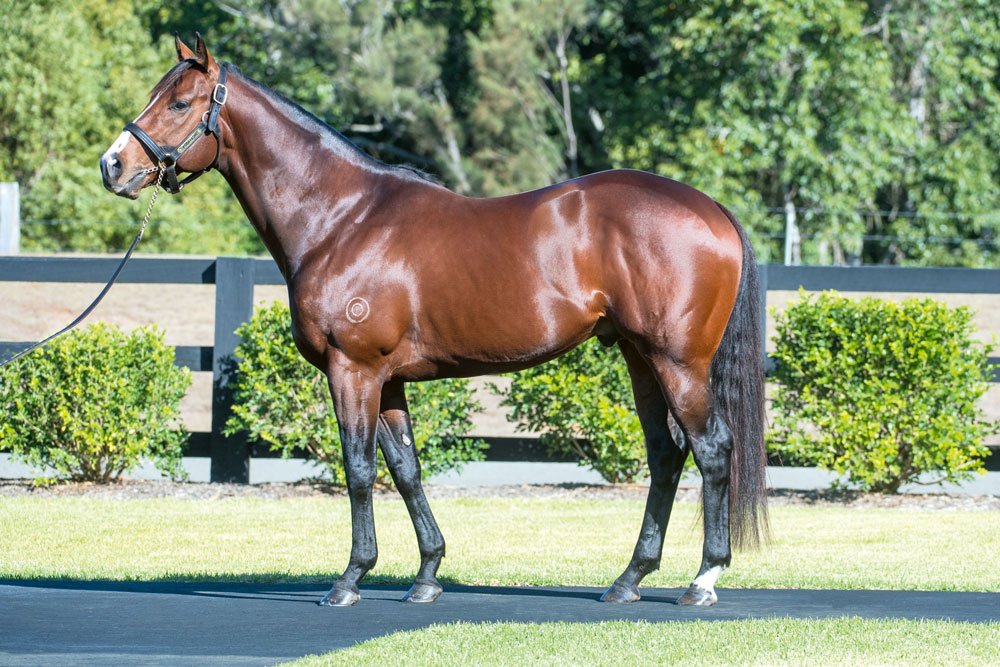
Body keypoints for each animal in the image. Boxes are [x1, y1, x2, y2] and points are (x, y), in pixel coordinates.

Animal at [101, 35, 767, 608]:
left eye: (179, 102)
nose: (113, 165)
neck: (342, 218)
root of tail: (710, 209)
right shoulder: (388, 380)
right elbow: (407, 470)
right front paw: (426, 574)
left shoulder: (353, 370)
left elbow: (359, 470)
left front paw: (350, 578)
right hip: (639, 357)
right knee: (666, 456)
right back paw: (629, 578)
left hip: (677, 361)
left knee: (711, 449)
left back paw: (703, 579)